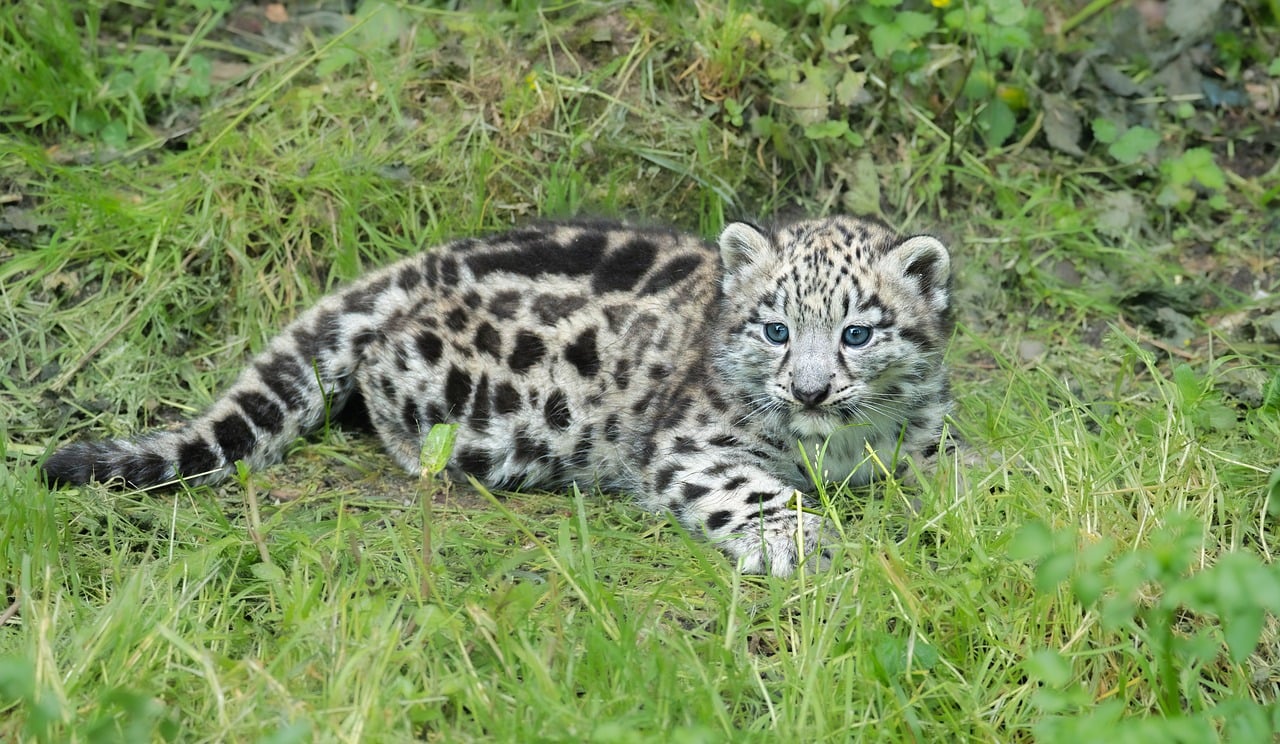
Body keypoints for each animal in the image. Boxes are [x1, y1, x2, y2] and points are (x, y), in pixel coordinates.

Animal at [42, 216, 955, 576]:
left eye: (856, 334)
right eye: (774, 329)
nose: (810, 388)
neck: (842, 447)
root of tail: (428, 261)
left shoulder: (927, 435)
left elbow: (956, 469)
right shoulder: (694, 444)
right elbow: (753, 491)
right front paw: (802, 544)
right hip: (476, 396)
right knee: (376, 373)